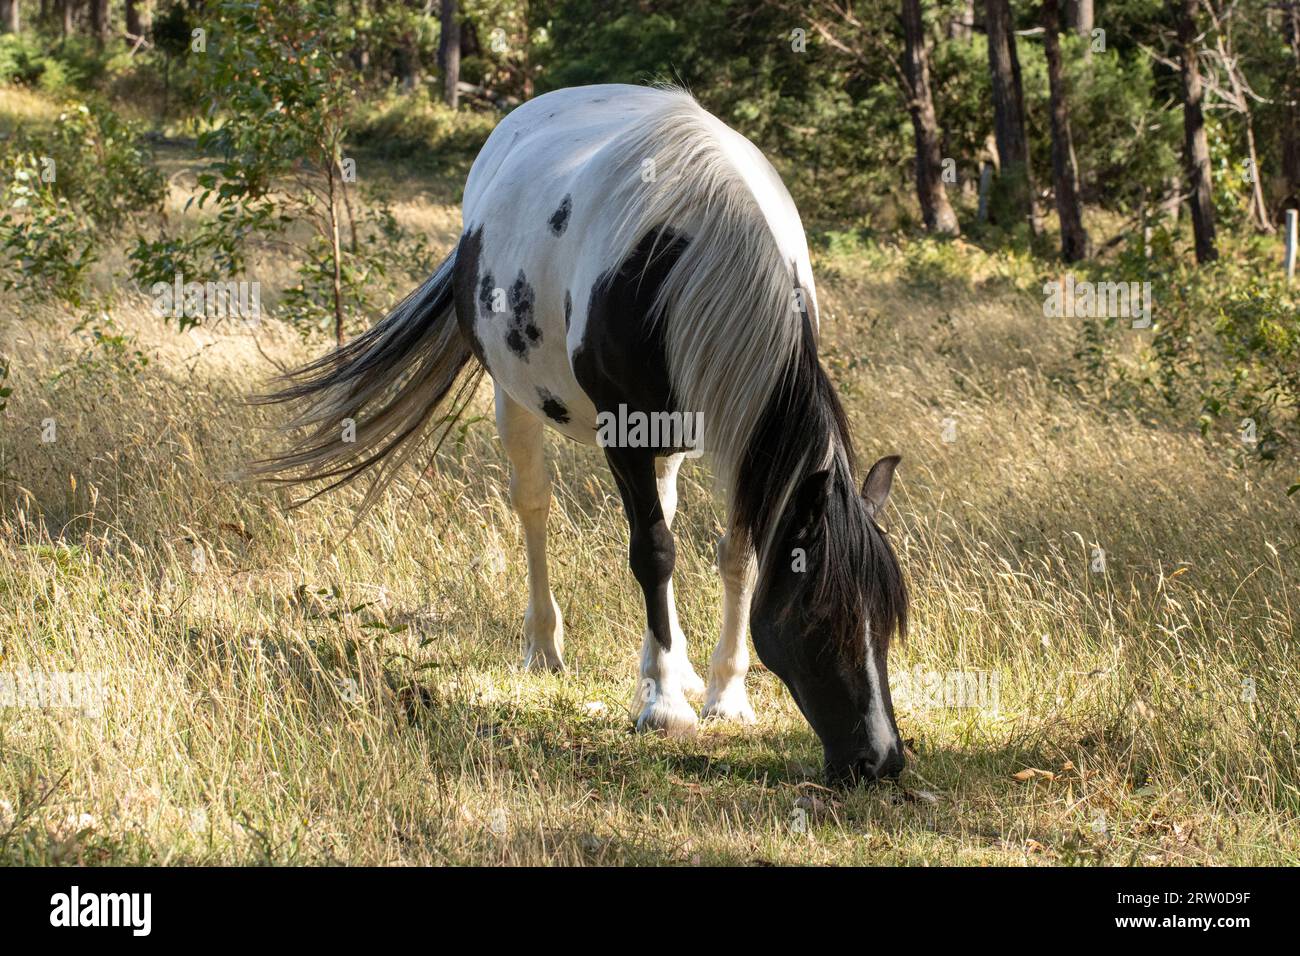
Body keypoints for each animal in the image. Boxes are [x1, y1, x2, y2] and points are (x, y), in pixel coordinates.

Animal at [254, 84, 909, 785]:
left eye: (886, 618)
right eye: (819, 617)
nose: (880, 760)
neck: (688, 254)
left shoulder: (739, 436)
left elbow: (737, 555)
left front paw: (724, 695)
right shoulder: (623, 433)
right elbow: (653, 553)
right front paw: (664, 707)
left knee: (663, 508)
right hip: (515, 398)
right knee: (535, 506)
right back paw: (546, 647)